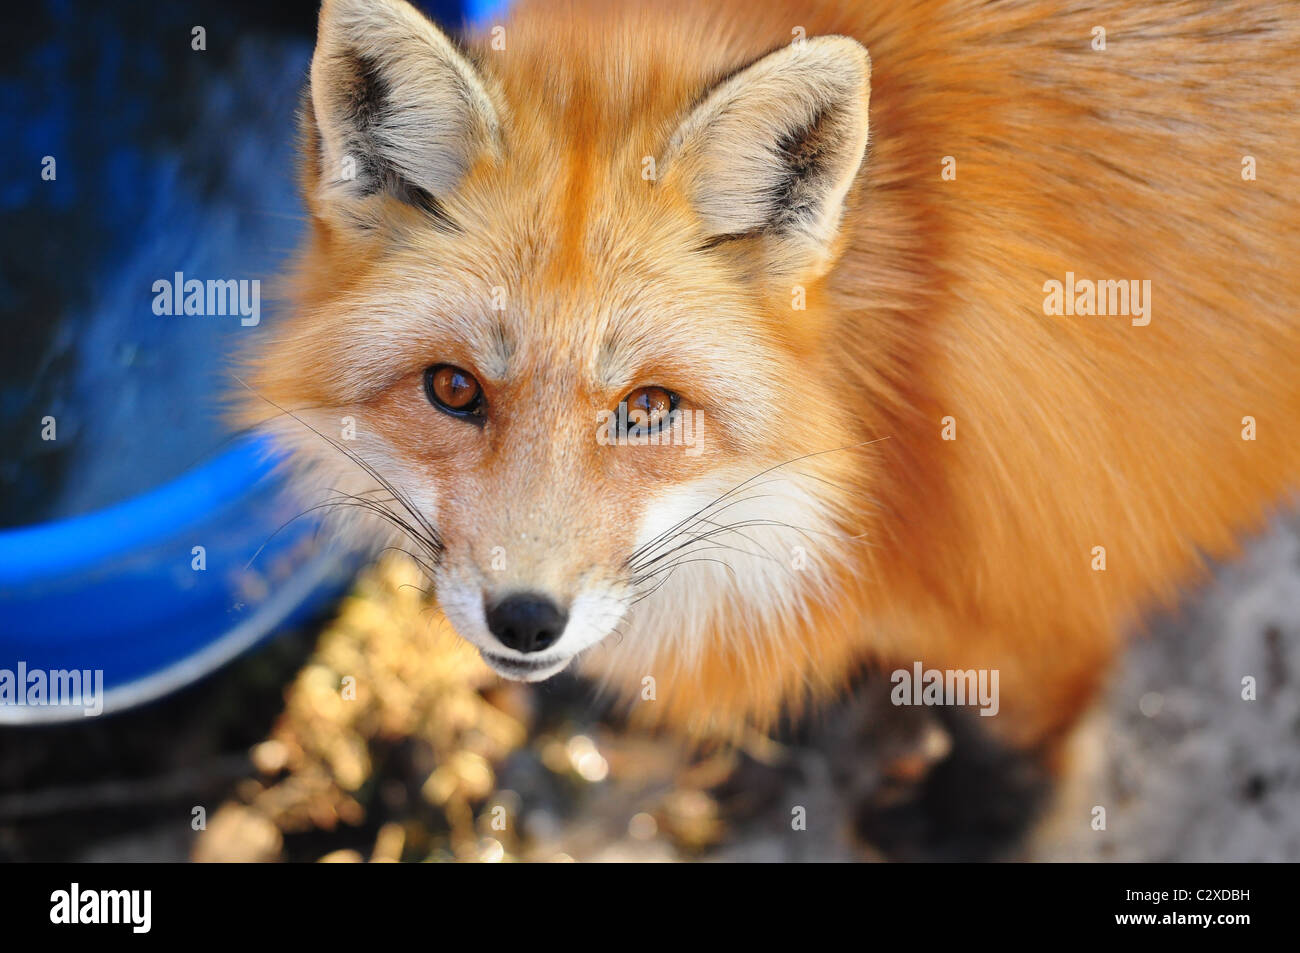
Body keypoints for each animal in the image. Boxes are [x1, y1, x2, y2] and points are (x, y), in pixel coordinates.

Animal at [238, 0, 1300, 818]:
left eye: (649, 406)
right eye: (455, 390)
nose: (528, 620)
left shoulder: (1049, 548)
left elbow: (1016, 724)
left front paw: (965, 822)